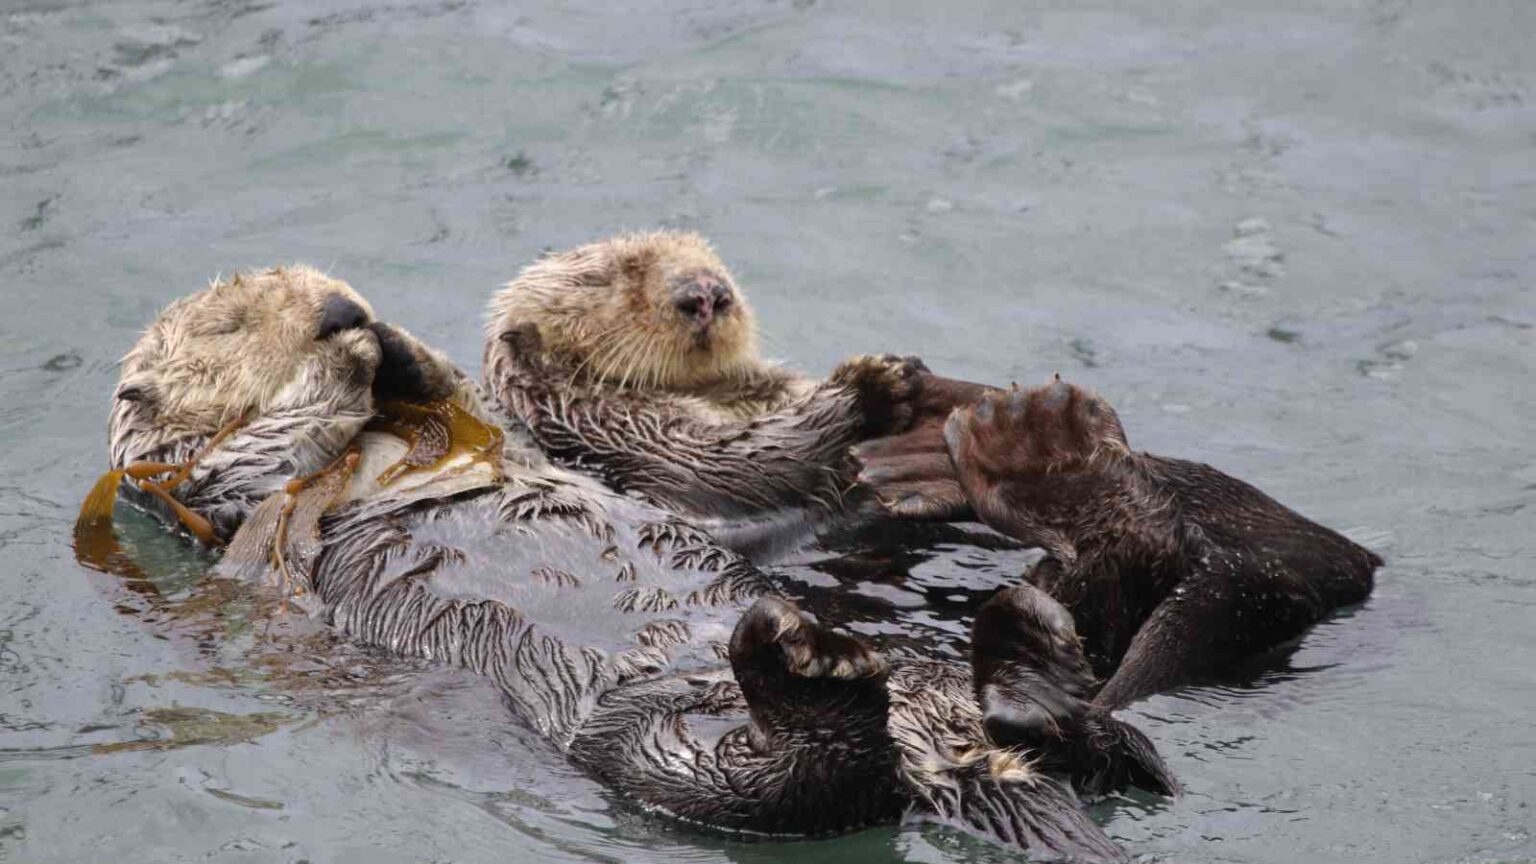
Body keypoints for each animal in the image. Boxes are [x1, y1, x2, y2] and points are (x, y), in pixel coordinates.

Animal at [81, 267, 1175, 862]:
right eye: (229, 324)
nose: (337, 310)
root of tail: (949, 750)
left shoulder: (485, 418)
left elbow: (452, 388)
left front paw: (390, 340)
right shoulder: (215, 489)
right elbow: (267, 445)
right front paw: (344, 360)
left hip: (936, 690)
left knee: (1117, 746)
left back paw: (1030, 641)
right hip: (655, 743)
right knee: (797, 788)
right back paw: (816, 666)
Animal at [483, 231, 927, 522]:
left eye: (714, 262)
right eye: (602, 279)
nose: (706, 292)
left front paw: (902, 365)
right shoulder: (618, 428)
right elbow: (738, 461)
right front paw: (871, 385)